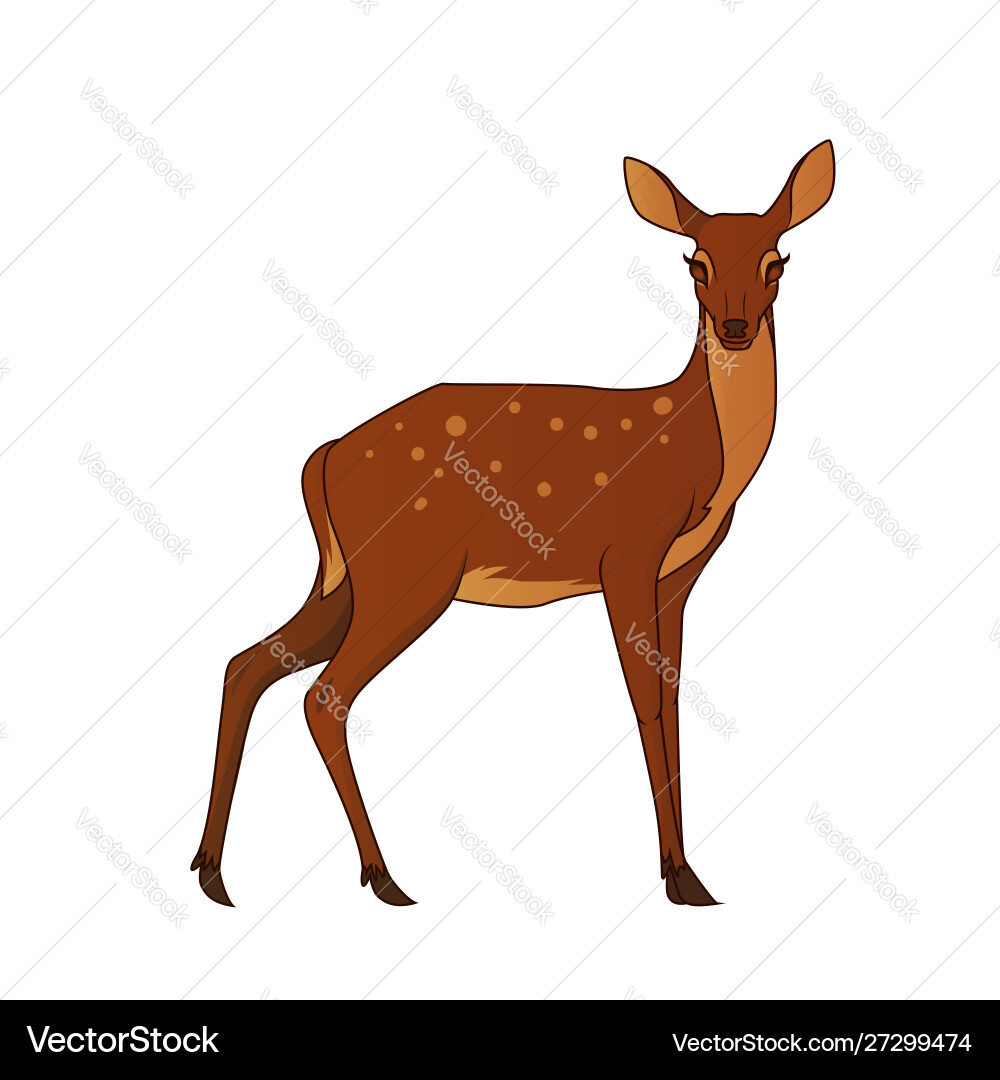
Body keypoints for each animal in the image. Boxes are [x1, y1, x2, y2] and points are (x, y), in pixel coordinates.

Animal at [191, 140, 835, 909]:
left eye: (776, 260)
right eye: (696, 262)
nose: (736, 329)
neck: (700, 459)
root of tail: (322, 458)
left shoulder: (678, 573)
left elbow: (675, 700)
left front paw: (693, 877)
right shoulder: (627, 552)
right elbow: (645, 705)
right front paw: (679, 876)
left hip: (348, 580)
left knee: (247, 664)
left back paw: (213, 872)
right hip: (408, 571)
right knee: (322, 696)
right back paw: (384, 877)